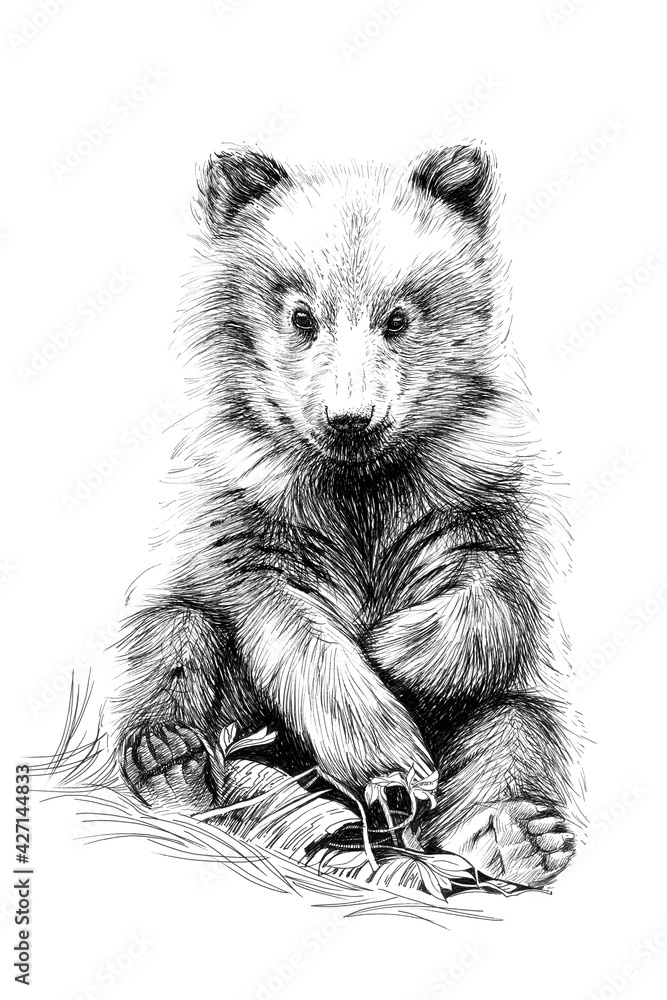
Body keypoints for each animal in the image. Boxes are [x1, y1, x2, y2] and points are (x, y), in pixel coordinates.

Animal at [114, 142, 583, 887]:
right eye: (302, 317)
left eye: (398, 318)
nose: (351, 420)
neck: (358, 484)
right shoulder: (250, 507)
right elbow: (293, 632)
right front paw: (391, 764)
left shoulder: (478, 482)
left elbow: (496, 595)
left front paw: (394, 649)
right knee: (175, 637)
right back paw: (173, 759)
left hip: (521, 710)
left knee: (520, 727)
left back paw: (520, 833)